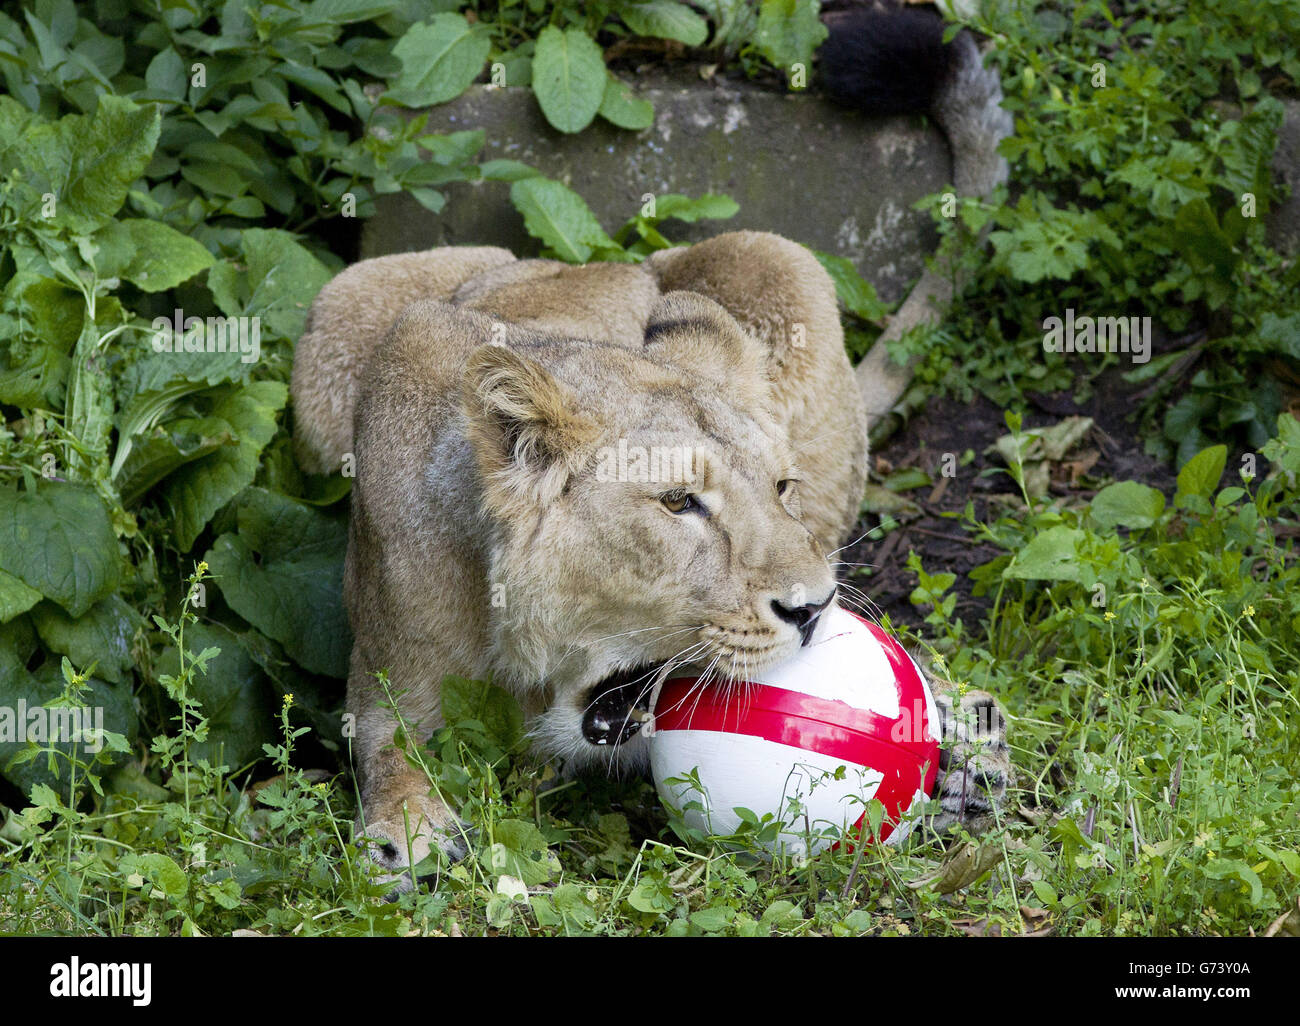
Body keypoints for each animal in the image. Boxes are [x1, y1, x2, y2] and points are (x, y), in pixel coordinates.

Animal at [290, 231, 1009, 887]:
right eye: (678, 502)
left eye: (781, 487)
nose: (811, 610)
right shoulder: (392, 665)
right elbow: (389, 746)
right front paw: (406, 831)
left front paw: (959, 746)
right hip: (340, 309)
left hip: (776, 259)